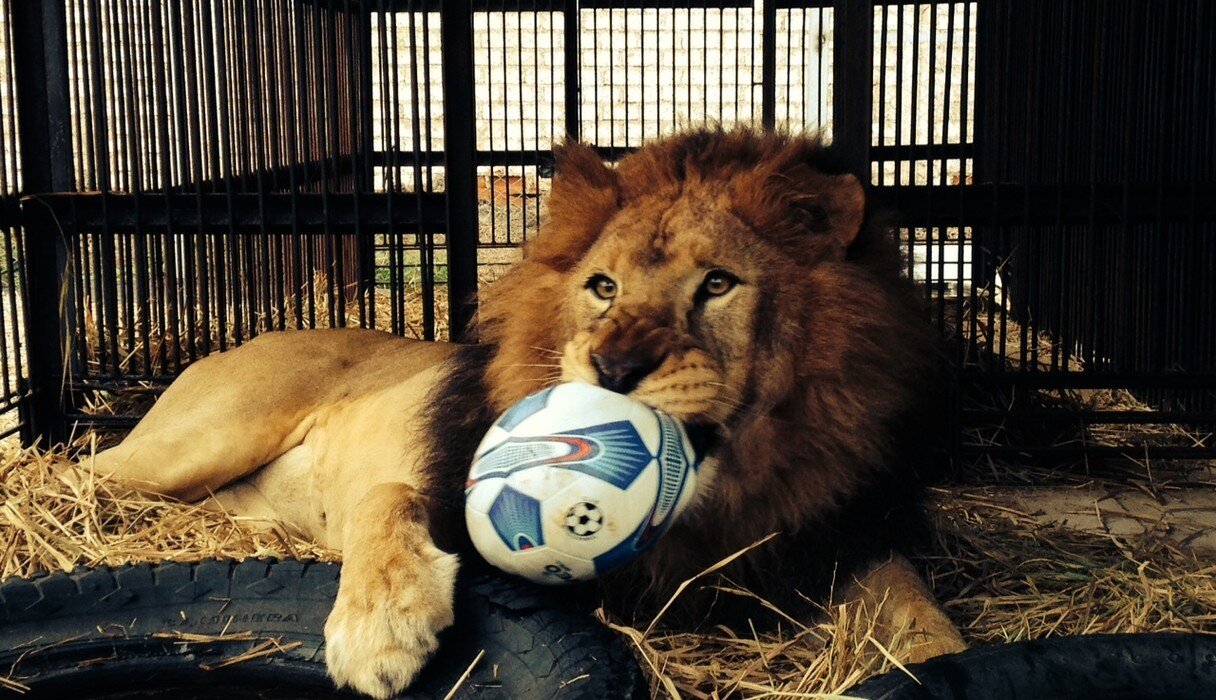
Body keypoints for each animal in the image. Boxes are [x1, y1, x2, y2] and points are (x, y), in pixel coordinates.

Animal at [91, 129, 966, 698]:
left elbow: (915, 610)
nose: (613, 370)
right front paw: (378, 626)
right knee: (86, 471)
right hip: (195, 444)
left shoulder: (835, 540)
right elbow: (388, 498)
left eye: (718, 283)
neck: (720, 499)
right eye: (603, 286)